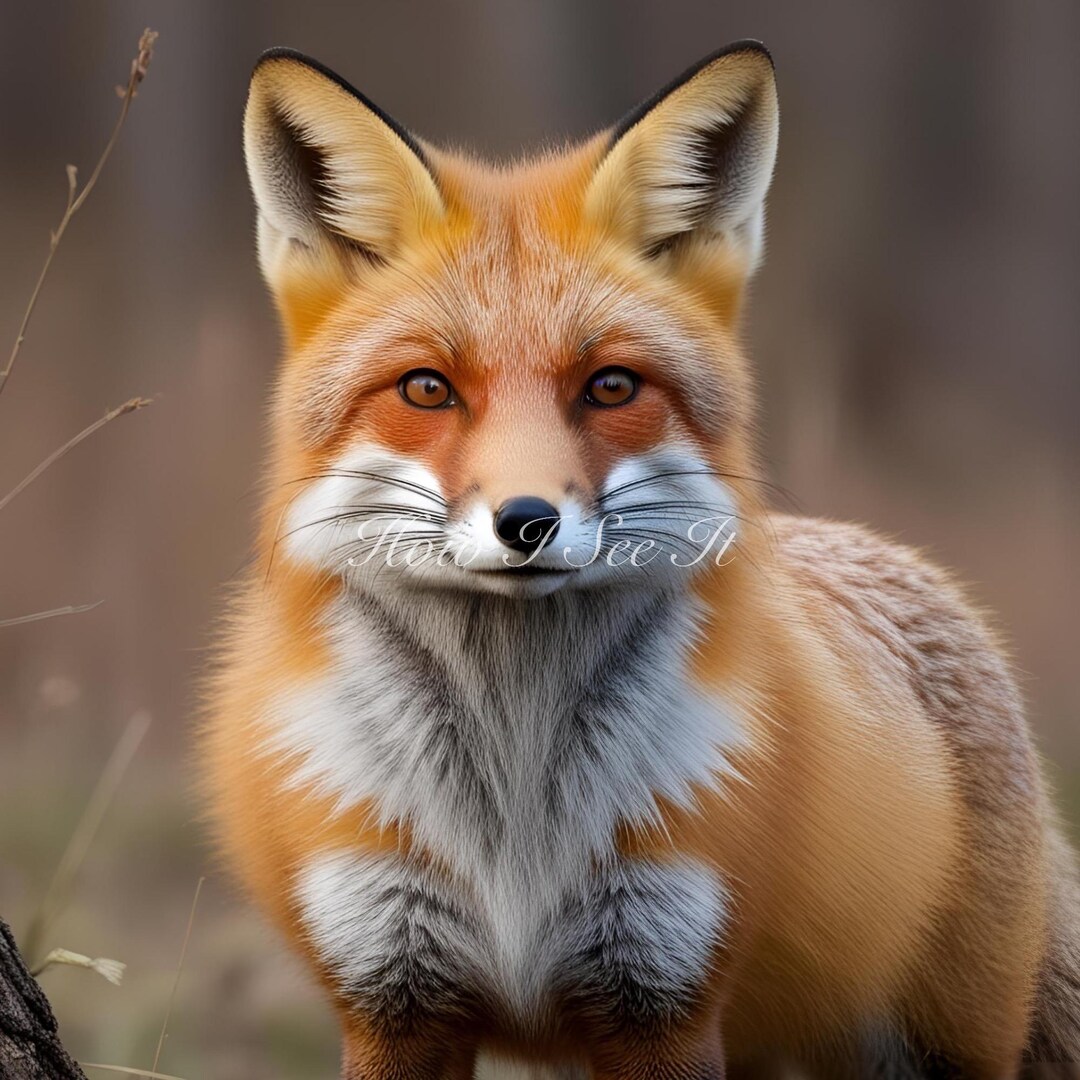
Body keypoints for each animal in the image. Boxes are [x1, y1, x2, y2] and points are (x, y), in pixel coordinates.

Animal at [202, 40, 1080, 1079]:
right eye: (427, 389)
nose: (527, 522)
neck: (515, 818)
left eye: (611, 385)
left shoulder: (661, 996)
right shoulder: (394, 996)